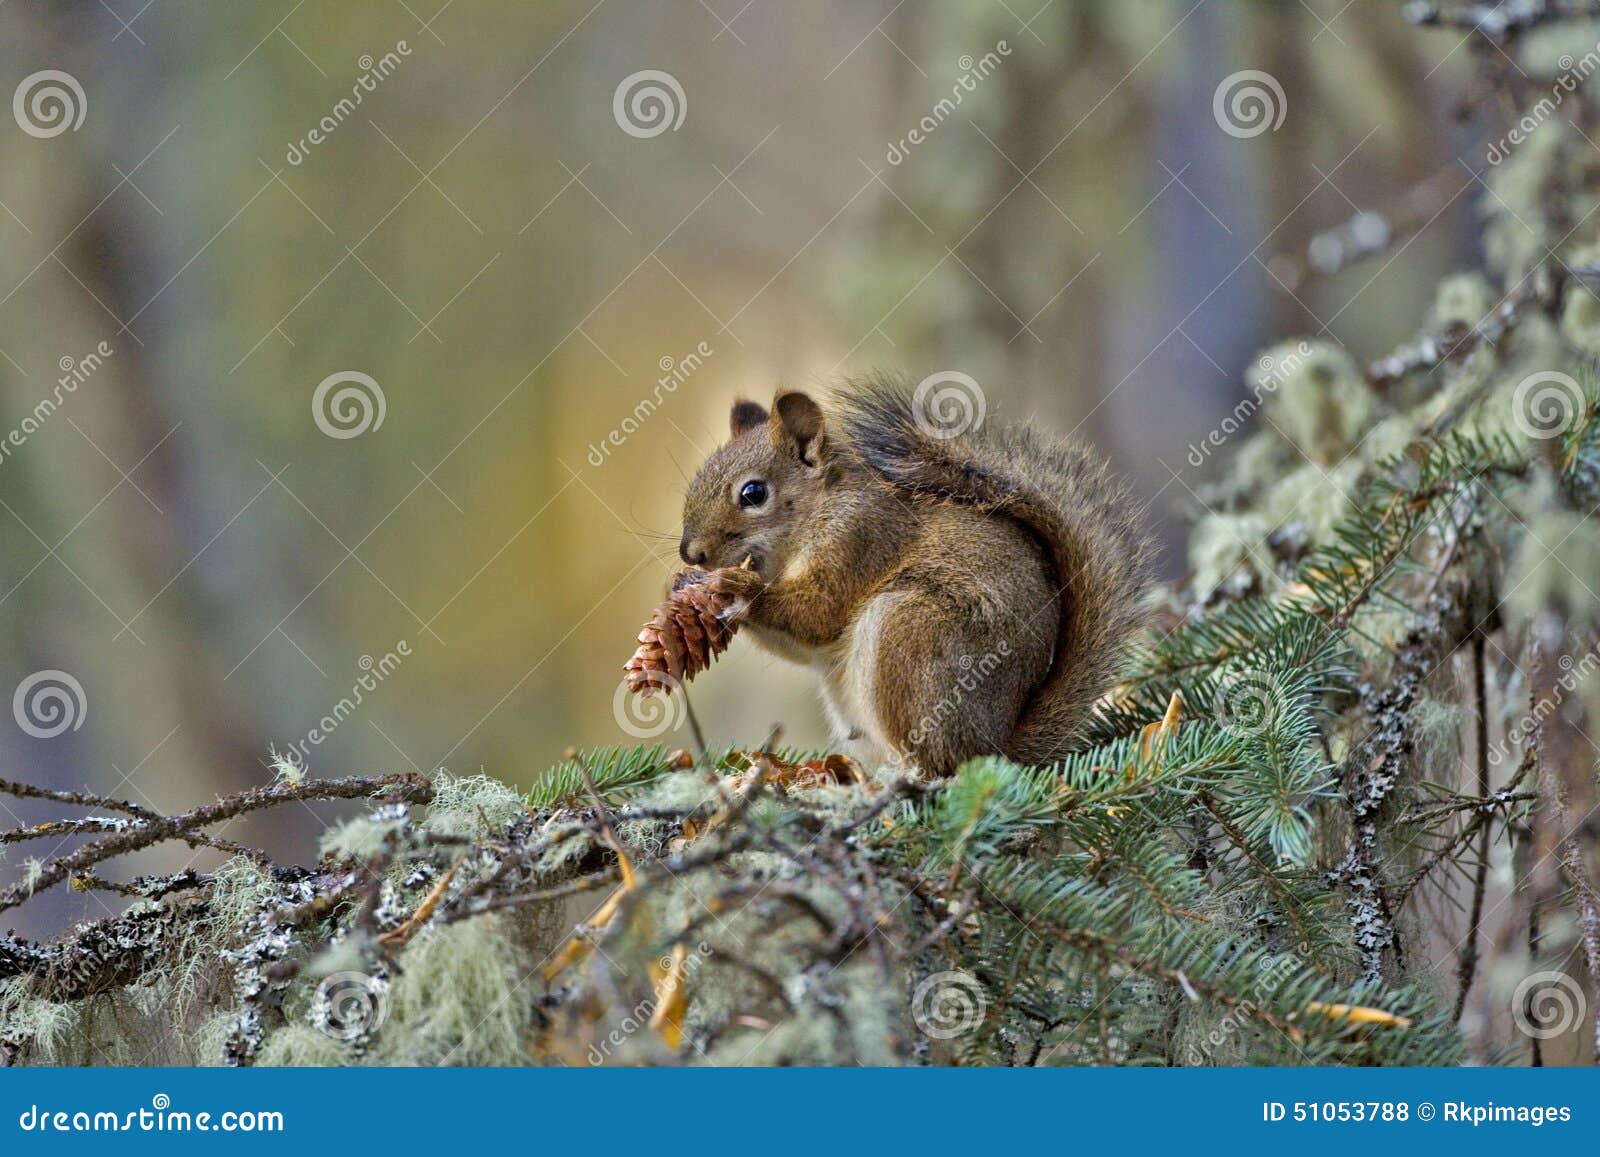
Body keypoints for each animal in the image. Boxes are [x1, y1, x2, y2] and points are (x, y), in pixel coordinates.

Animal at [676, 378, 1149, 776]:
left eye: (753, 493)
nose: (691, 553)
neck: (819, 510)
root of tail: (996, 748)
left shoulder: (860, 539)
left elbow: (818, 613)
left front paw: (739, 588)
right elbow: (804, 646)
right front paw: (686, 585)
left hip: (910, 631)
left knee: (938, 765)